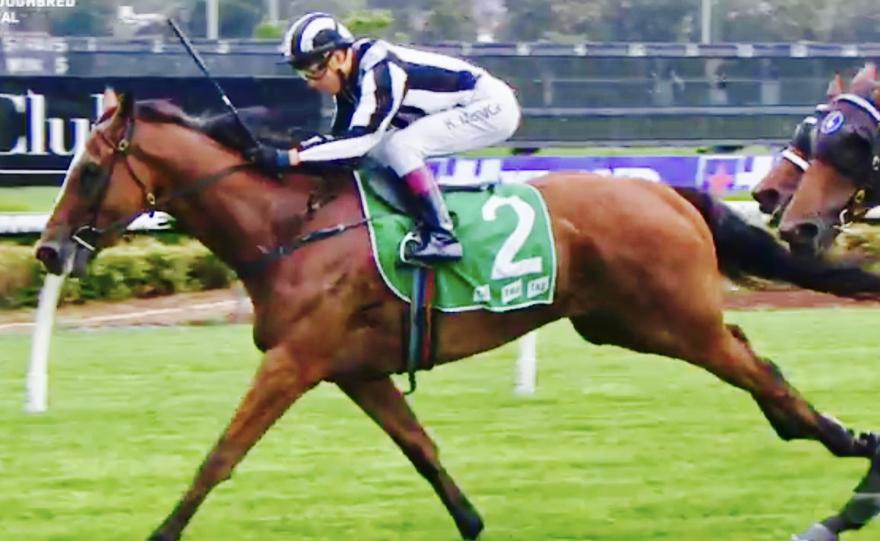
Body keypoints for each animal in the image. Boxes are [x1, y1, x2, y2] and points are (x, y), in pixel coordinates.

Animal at [35, 90, 880, 541]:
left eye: (89, 167)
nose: (45, 250)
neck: (289, 227)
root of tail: (665, 189)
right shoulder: (354, 368)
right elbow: (421, 446)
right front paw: (472, 520)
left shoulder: (295, 361)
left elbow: (221, 454)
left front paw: (161, 531)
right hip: (623, 322)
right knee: (749, 359)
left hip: (670, 318)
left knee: (754, 363)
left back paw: (847, 441)